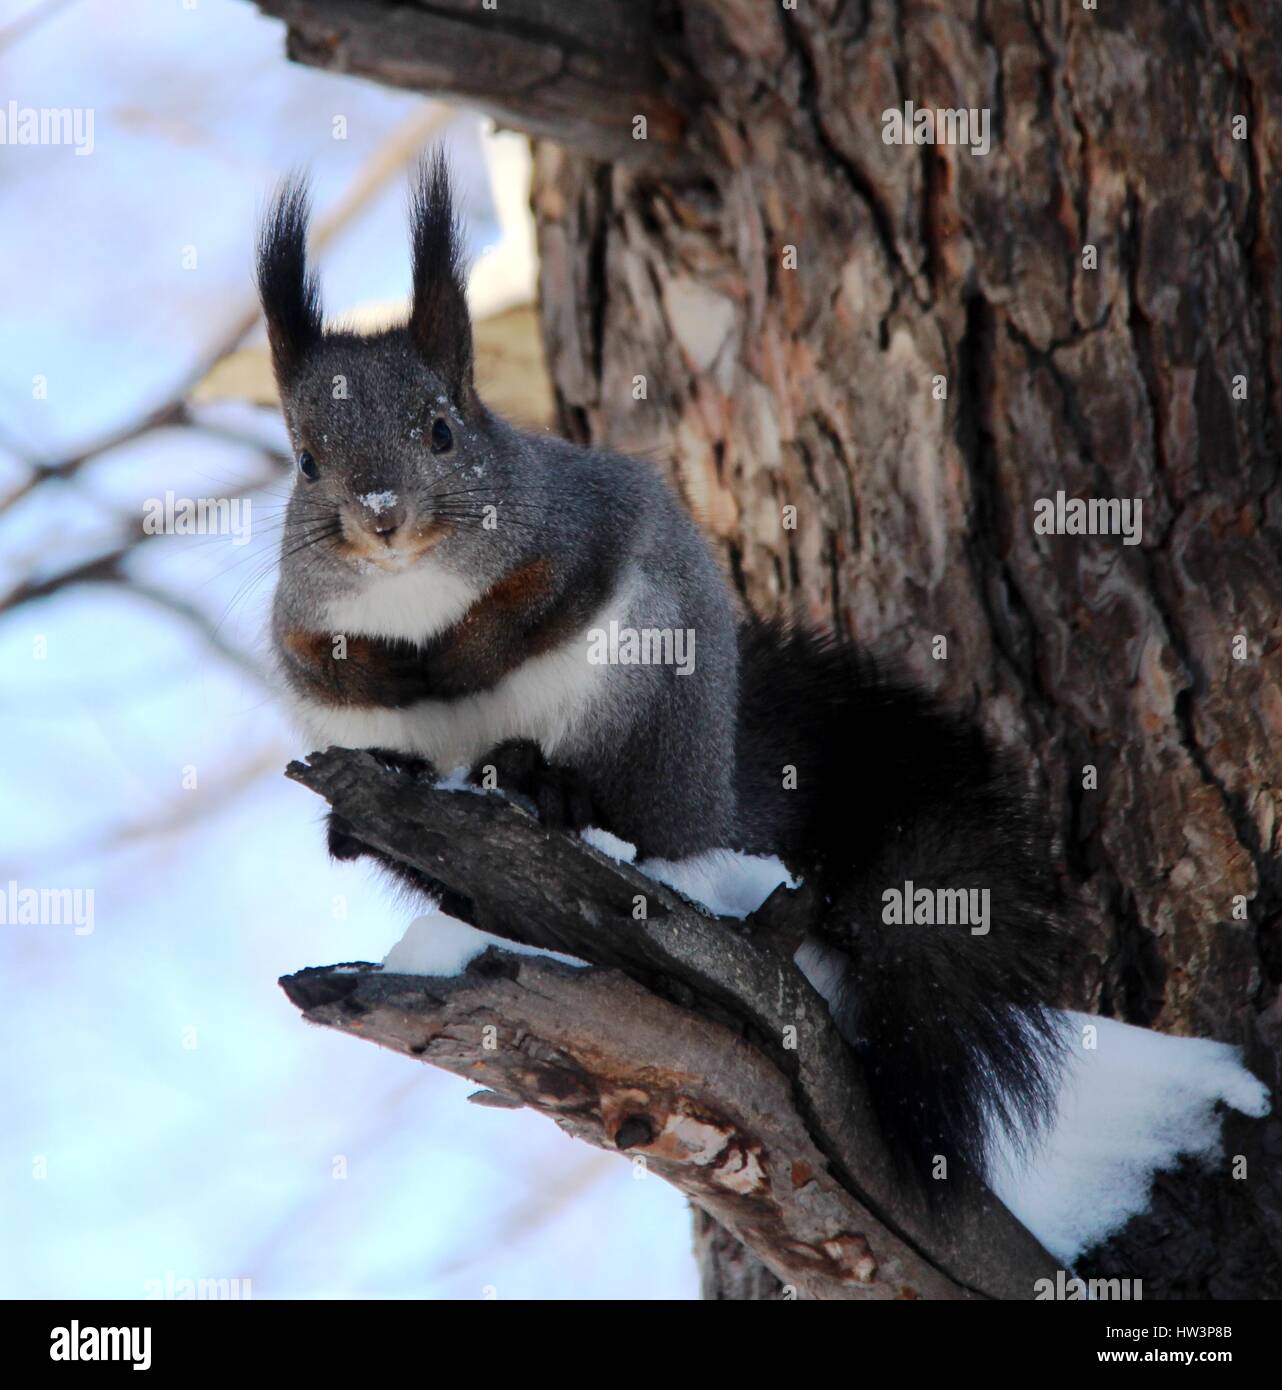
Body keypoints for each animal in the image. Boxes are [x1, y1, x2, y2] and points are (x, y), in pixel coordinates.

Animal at [261, 155, 1077, 1195]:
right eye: (305, 461)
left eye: (441, 432)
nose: (381, 517)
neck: (410, 600)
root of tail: (716, 804)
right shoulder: (296, 629)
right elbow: (326, 663)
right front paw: (389, 675)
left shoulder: (578, 532)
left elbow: (530, 605)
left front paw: (461, 654)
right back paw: (380, 807)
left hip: (644, 714)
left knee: (636, 821)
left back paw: (543, 782)